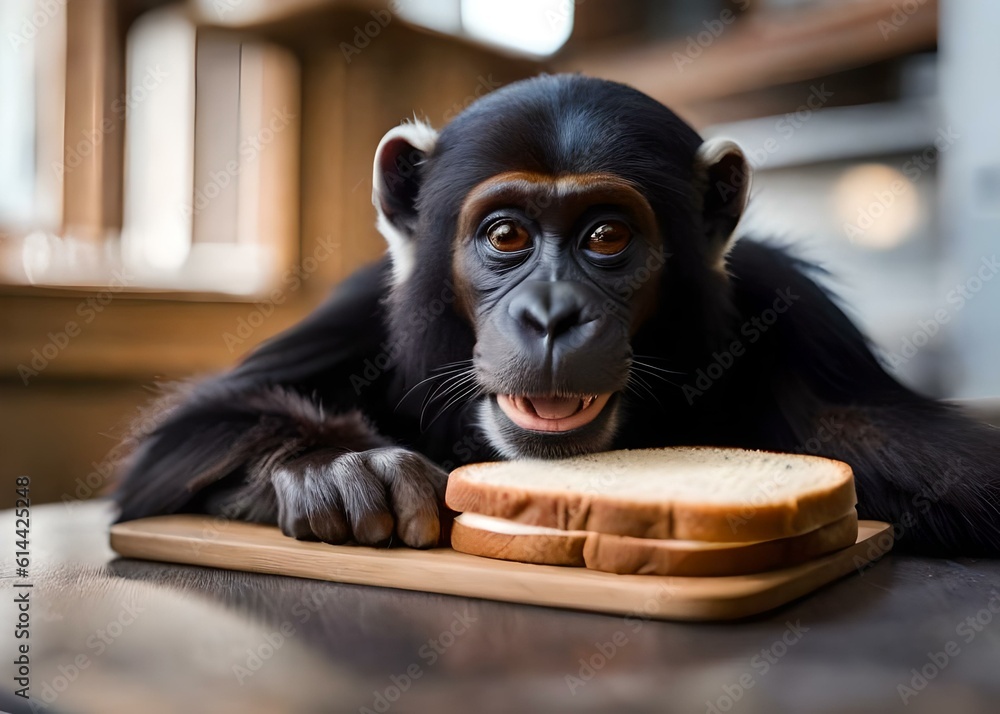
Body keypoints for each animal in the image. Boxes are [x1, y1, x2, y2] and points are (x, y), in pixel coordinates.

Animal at [114, 74, 1000, 556]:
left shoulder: (797, 310)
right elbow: (186, 434)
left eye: (606, 237)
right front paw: (337, 467)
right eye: (506, 235)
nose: (550, 313)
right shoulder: (356, 309)